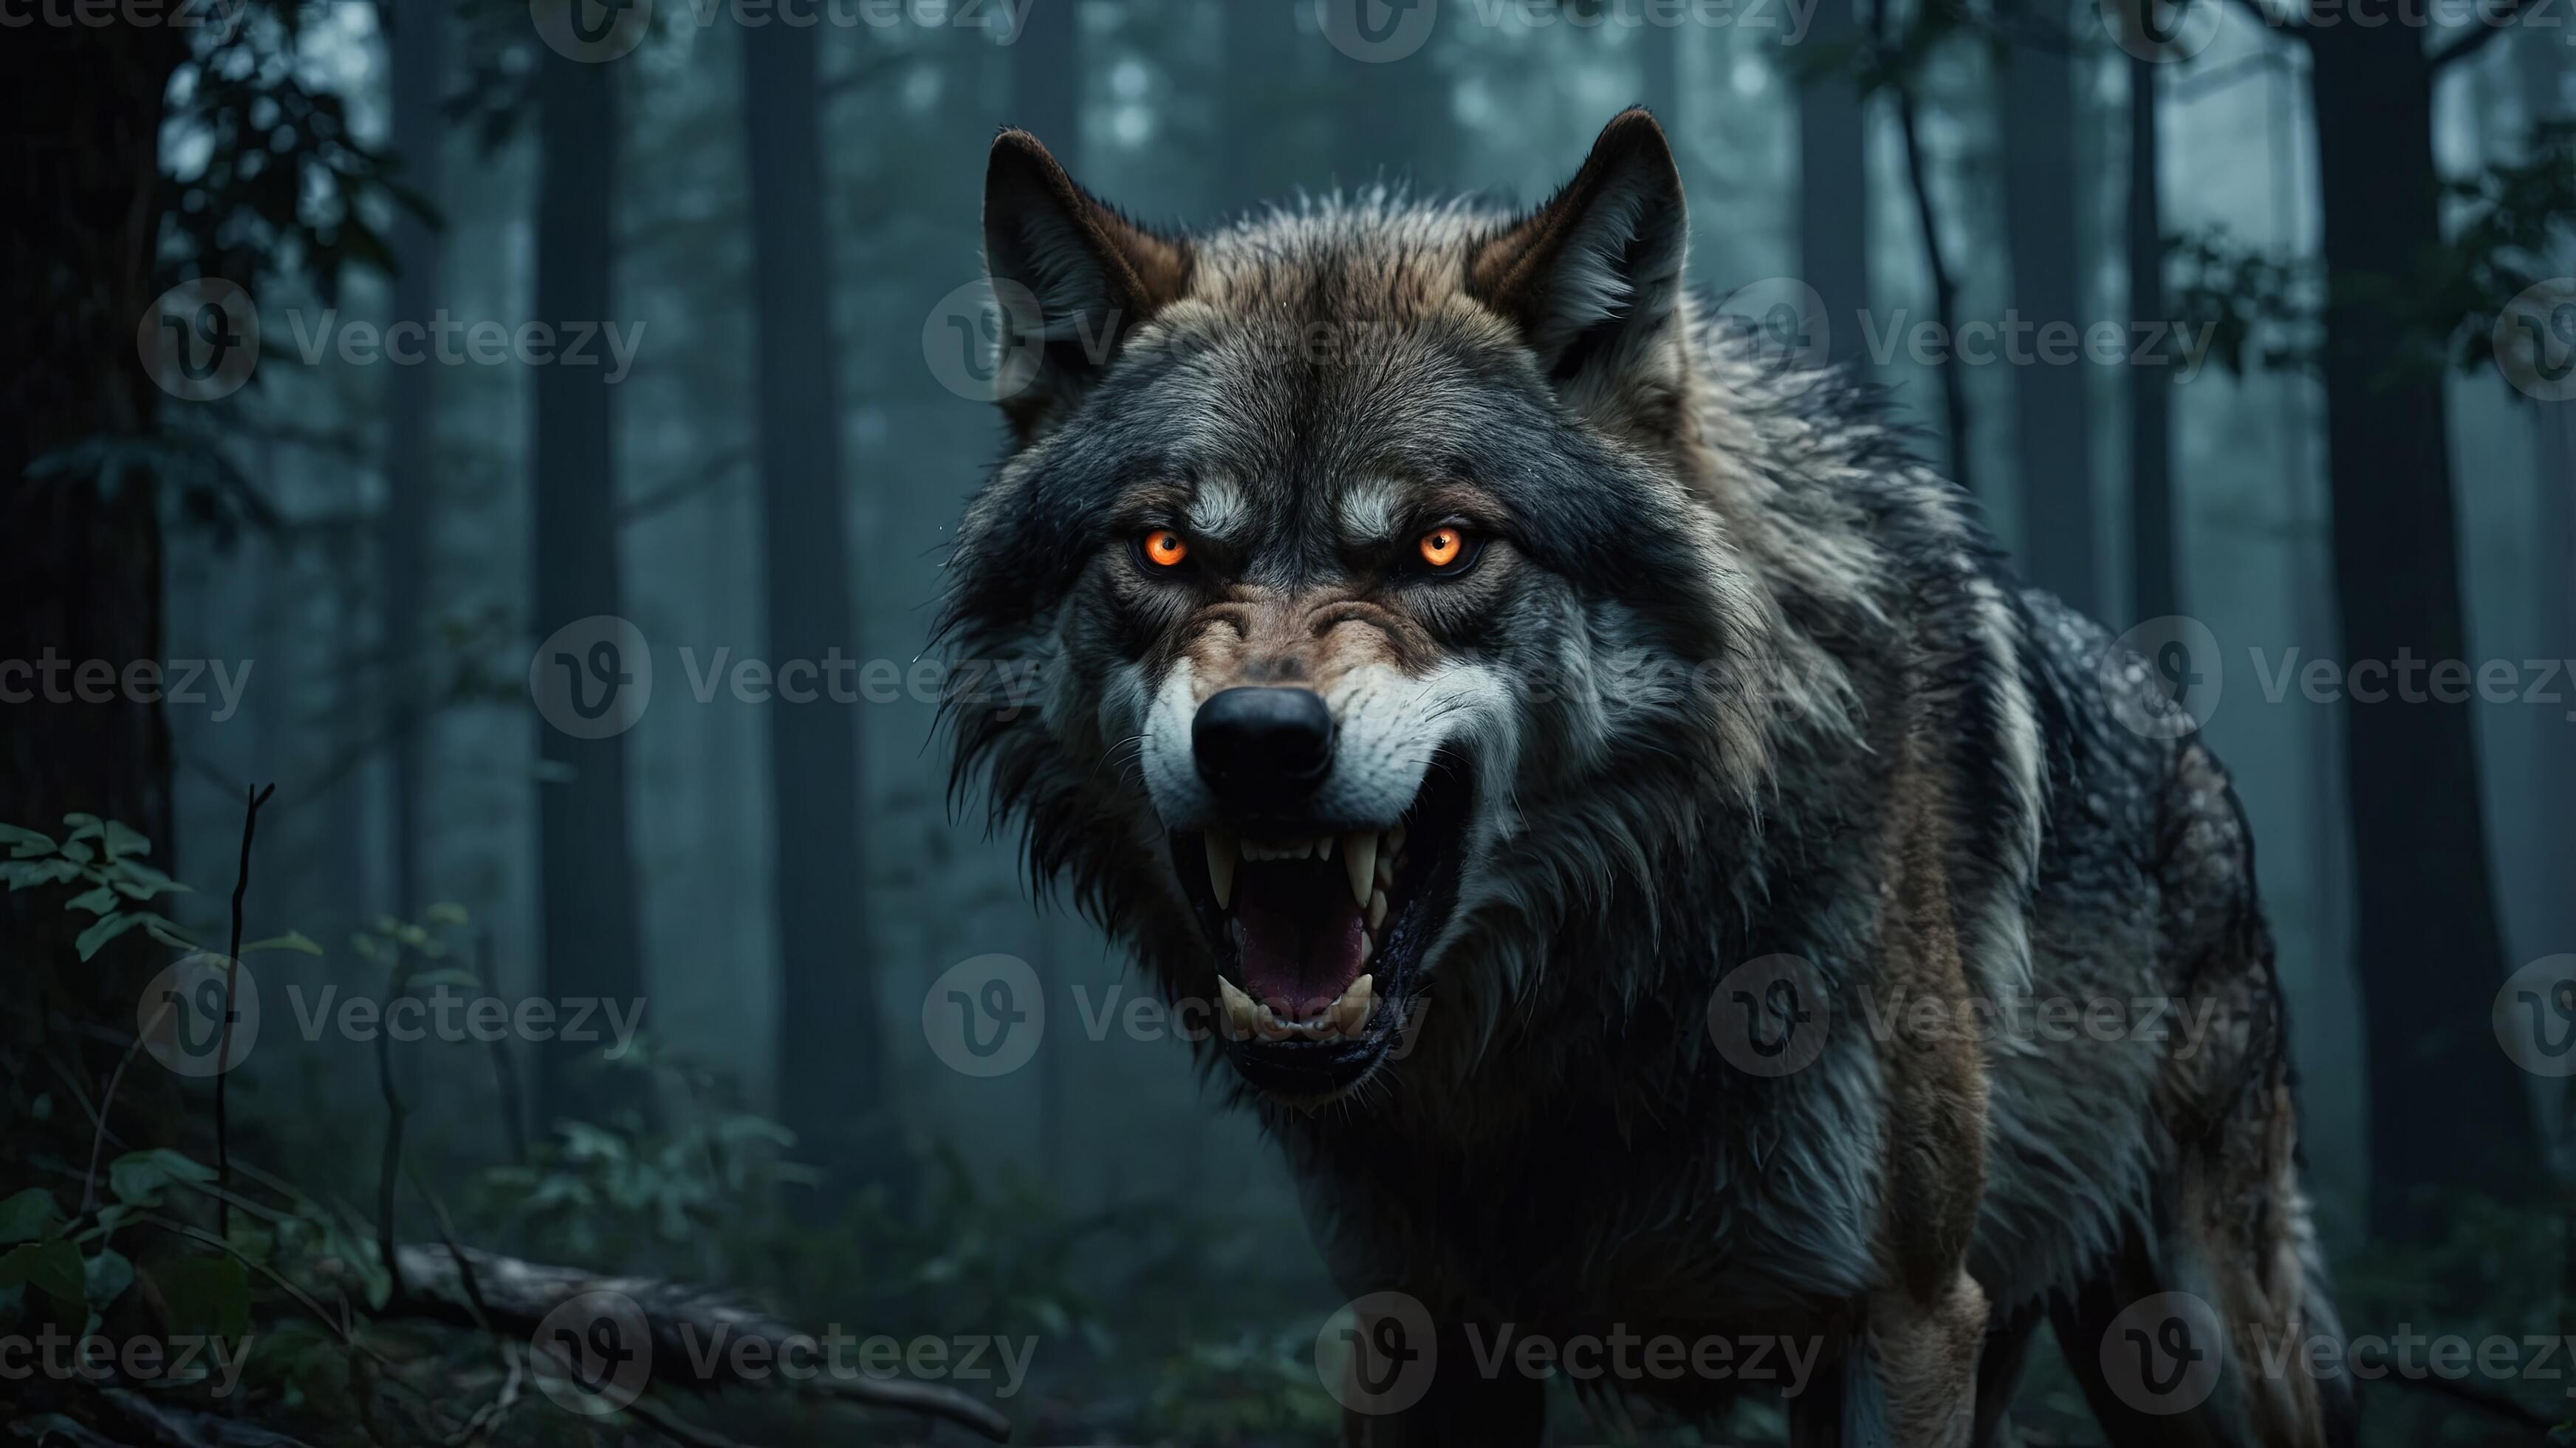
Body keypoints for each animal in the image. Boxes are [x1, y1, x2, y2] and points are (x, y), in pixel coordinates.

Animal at [937, 109, 2356, 1446]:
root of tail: (2188, 747)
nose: (1259, 741)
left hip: (2197, 1347)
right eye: (1165, 549)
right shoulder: (1415, 1327)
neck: (1566, 1030)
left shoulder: (1905, 1319)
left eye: (1441, 546)